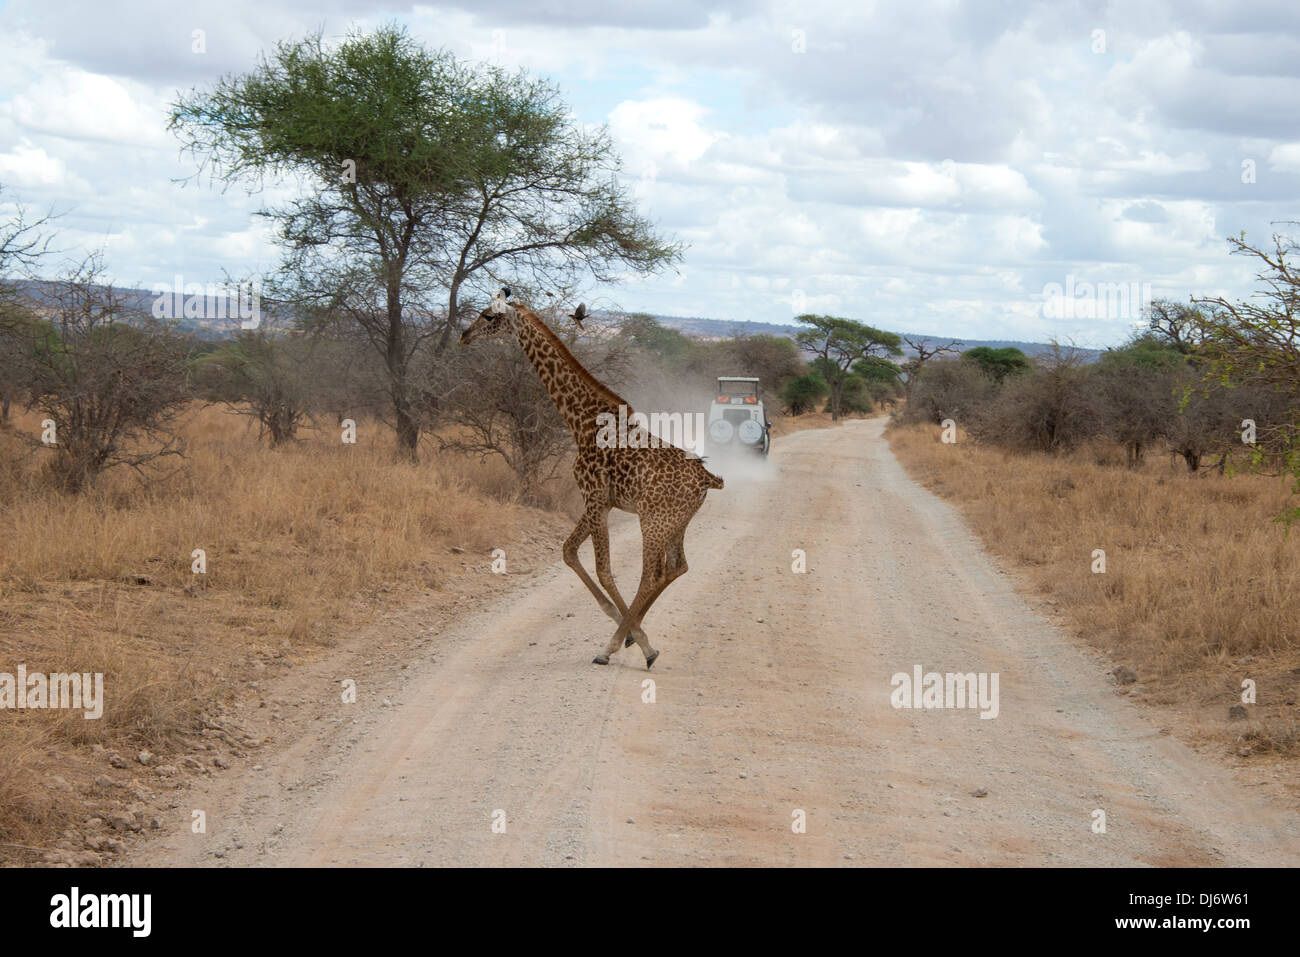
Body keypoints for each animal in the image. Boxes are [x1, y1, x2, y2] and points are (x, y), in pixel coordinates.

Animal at [460, 288, 724, 669]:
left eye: (489, 316)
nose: (464, 335)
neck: (580, 420)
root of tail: (707, 478)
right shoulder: (601, 501)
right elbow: (568, 550)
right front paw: (625, 626)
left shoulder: (595, 496)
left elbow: (604, 568)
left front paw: (632, 640)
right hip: (678, 521)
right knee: (677, 566)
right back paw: (629, 635)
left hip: (654, 519)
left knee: (653, 572)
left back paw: (617, 646)